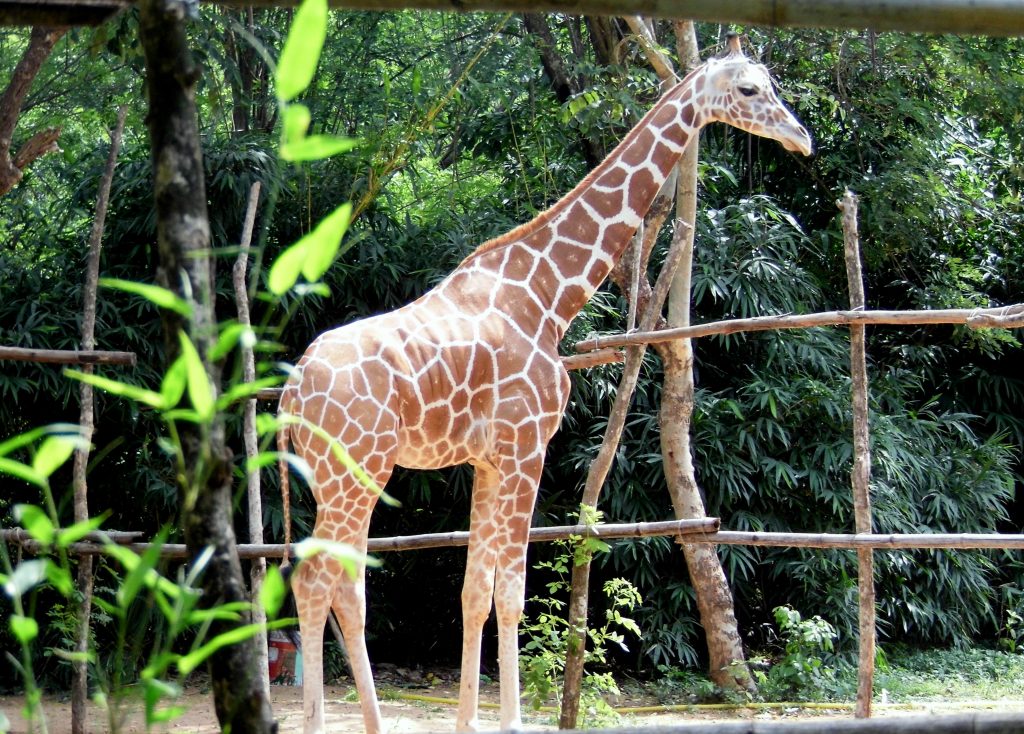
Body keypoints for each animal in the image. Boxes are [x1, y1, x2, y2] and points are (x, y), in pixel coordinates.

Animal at [278, 34, 812, 734]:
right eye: (750, 89)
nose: (802, 138)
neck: (549, 297)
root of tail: (291, 394)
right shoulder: (526, 447)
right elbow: (512, 592)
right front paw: (506, 720)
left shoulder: (488, 460)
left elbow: (474, 591)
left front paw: (469, 722)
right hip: (354, 470)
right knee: (318, 581)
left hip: (343, 475)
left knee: (342, 583)